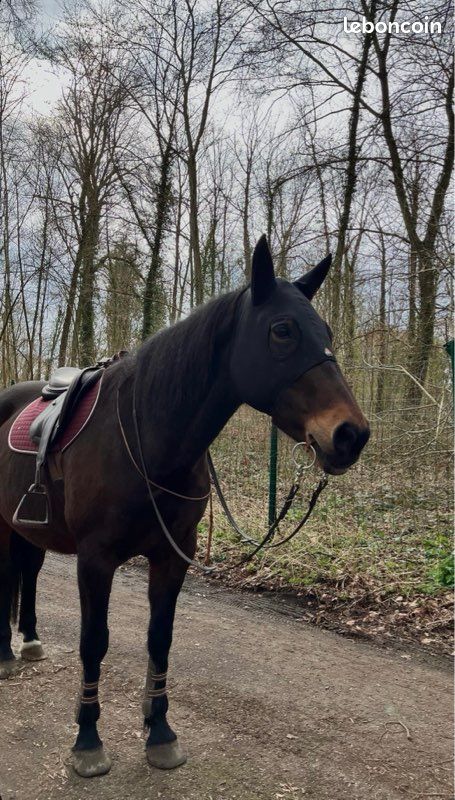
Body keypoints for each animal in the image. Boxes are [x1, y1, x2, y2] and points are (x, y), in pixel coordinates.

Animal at [0, 236, 370, 777]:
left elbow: (160, 638)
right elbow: (94, 642)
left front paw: (159, 732)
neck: (149, 437)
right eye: (282, 330)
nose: (351, 435)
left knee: (25, 573)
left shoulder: (173, 556)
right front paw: (87, 741)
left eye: (327, 333)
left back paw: (25, 642)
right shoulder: (95, 559)